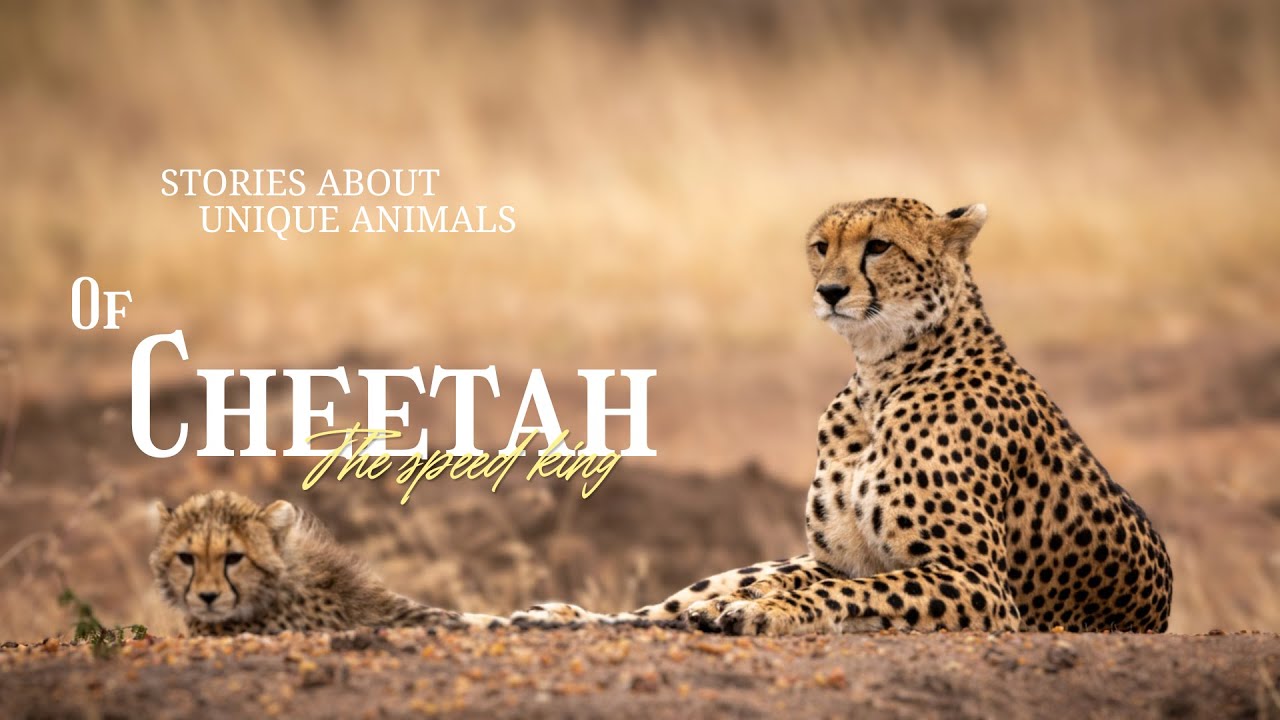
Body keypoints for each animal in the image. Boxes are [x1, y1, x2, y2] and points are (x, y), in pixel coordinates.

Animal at [513, 197, 1173, 636]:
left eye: (878, 246)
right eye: (821, 246)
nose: (829, 291)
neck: (880, 375)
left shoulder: (982, 585)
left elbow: (856, 587)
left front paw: (763, 609)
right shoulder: (834, 556)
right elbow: (828, 578)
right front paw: (749, 603)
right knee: (660, 608)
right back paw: (553, 615)